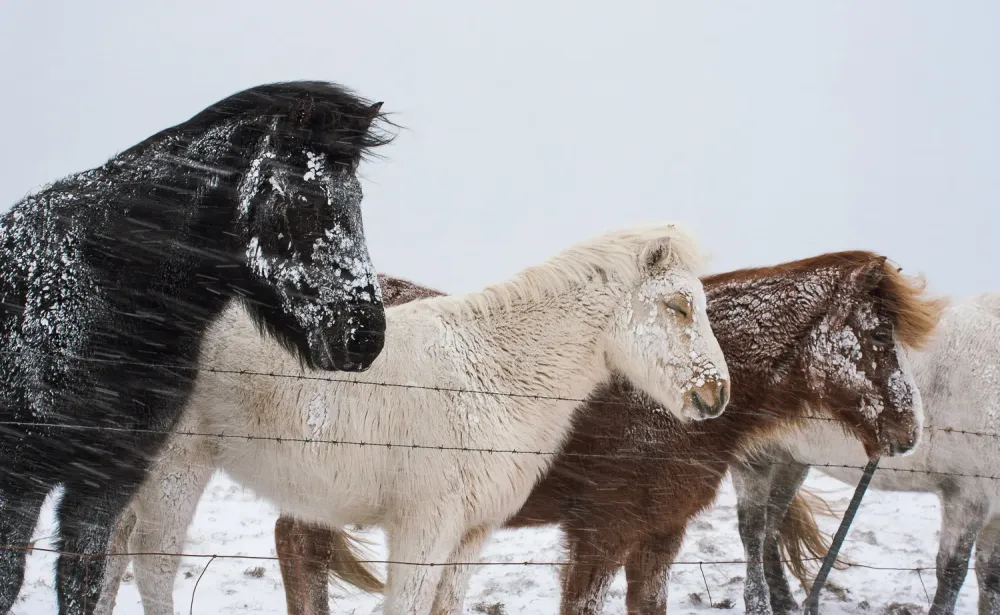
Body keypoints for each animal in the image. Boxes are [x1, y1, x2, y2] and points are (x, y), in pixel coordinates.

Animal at [0, 80, 391, 615]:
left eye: (357, 199)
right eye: (304, 201)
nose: (365, 336)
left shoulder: (105, 483)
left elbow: (83, 583)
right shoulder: (18, 480)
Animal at [95, 223, 731, 615]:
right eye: (678, 306)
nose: (716, 393)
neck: (492, 373)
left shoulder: (469, 536)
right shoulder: (422, 529)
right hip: (177, 469)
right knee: (152, 564)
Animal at [267, 250, 941, 615]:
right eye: (878, 334)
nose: (908, 429)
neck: (663, 401)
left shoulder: (659, 538)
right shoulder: (600, 535)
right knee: (300, 552)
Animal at [734, 293, 1000, 615]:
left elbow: (990, 576)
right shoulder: (966, 496)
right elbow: (952, 571)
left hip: (790, 458)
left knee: (772, 526)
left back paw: (784, 601)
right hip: (754, 457)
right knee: (753, 531)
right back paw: (759, 603)